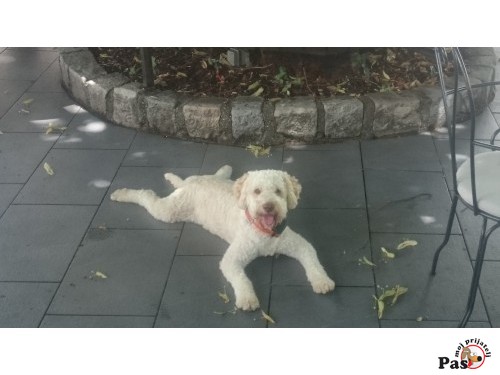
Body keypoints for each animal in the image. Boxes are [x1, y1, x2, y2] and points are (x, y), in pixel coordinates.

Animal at [111, 166, 334, 310]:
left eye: (278, 191)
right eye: (257, 191)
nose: (269, 206)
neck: (263, 231)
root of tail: (190, 183)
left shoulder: (298, 244)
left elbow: (313, 261)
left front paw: (322, 281)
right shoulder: (232, 259)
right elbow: (241, 278)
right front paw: (247, 299)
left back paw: (225, 169)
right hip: (170, 210)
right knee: (146, 195)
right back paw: (122, 194)